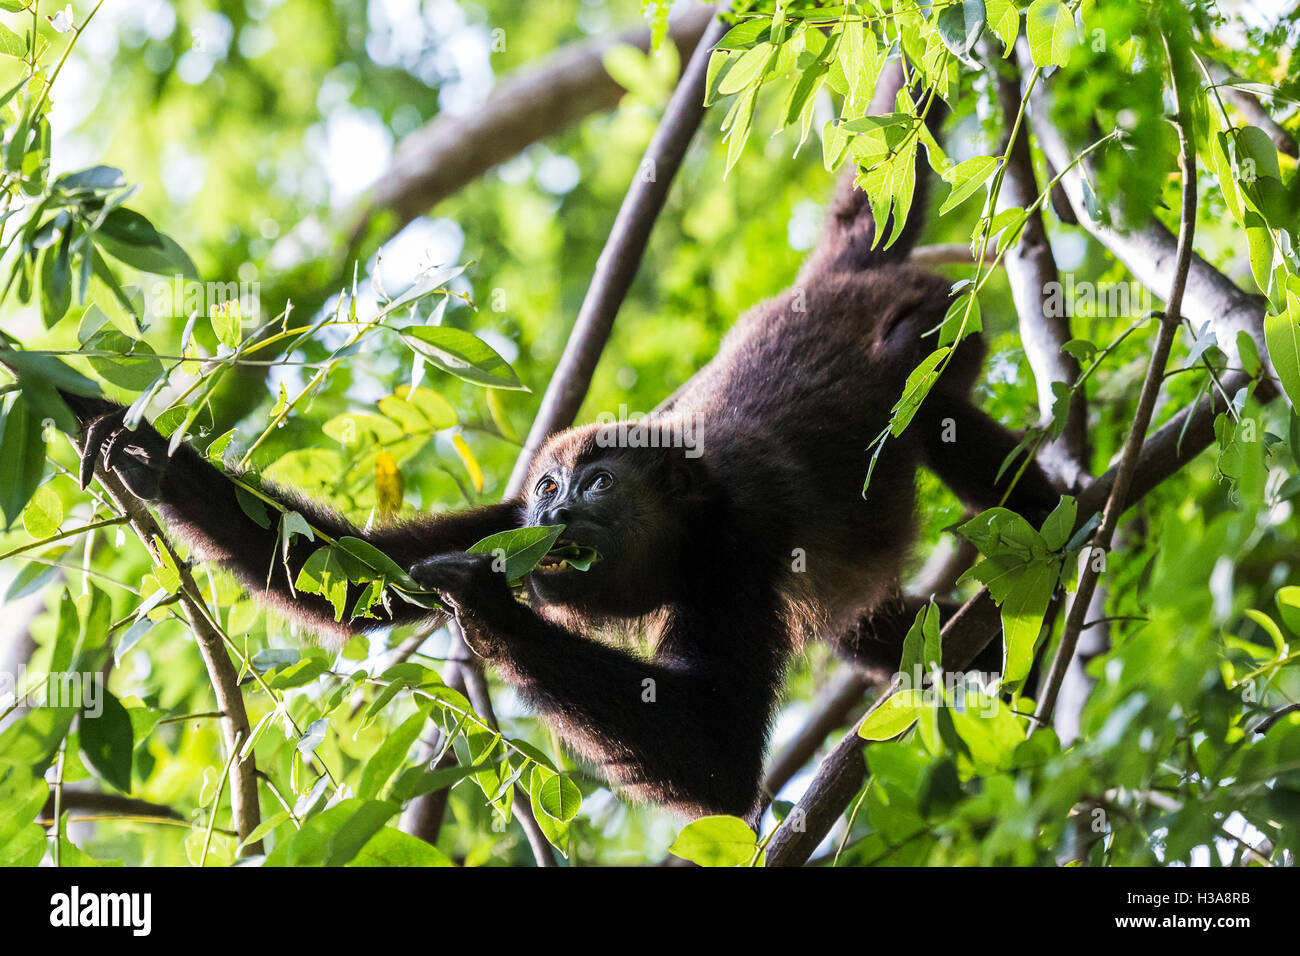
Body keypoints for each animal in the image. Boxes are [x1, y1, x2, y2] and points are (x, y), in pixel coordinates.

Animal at [66, 129, 1060, 824]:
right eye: (546, 488)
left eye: (599, 483)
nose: (557, 510)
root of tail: (837, 277)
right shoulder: (505, 518)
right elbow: (348, 571)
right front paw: (136, 451)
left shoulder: (738, 544)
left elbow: (719, 759)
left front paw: (484, 606)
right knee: (875, 629)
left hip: (934, 323)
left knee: (930, 404)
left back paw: (1057, 540)